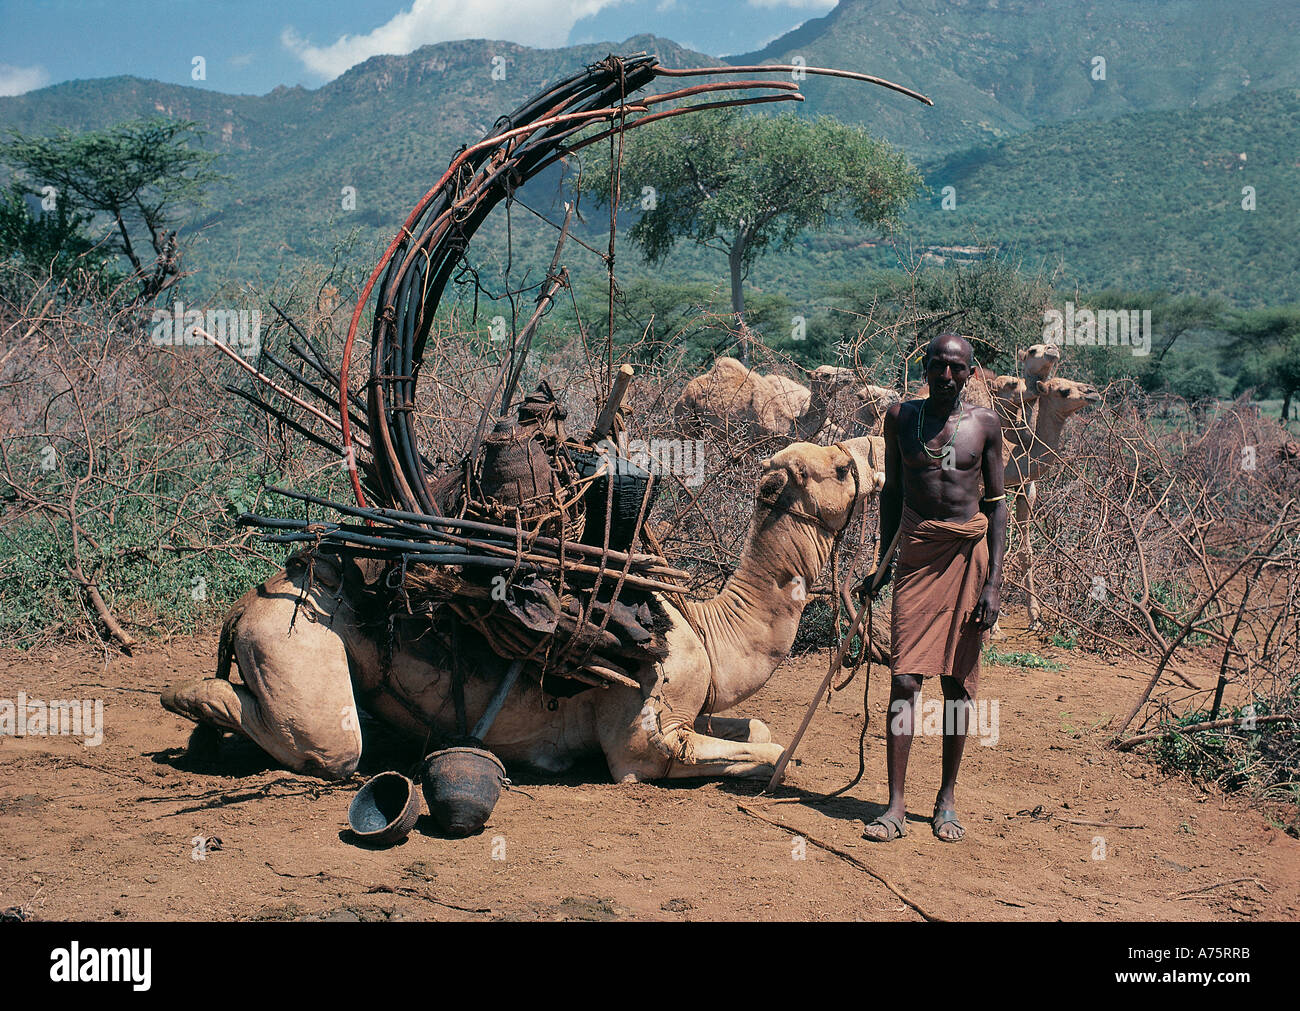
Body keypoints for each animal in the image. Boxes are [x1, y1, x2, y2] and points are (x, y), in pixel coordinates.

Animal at [161, 439, 887, 783]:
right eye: (839, 467)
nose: (877, 449)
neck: (711, 633)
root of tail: (244, 607)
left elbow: (761, 728)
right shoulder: (642, 745)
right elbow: (771, 751)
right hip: (299, 652)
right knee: (326, 745)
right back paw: (188, 702)